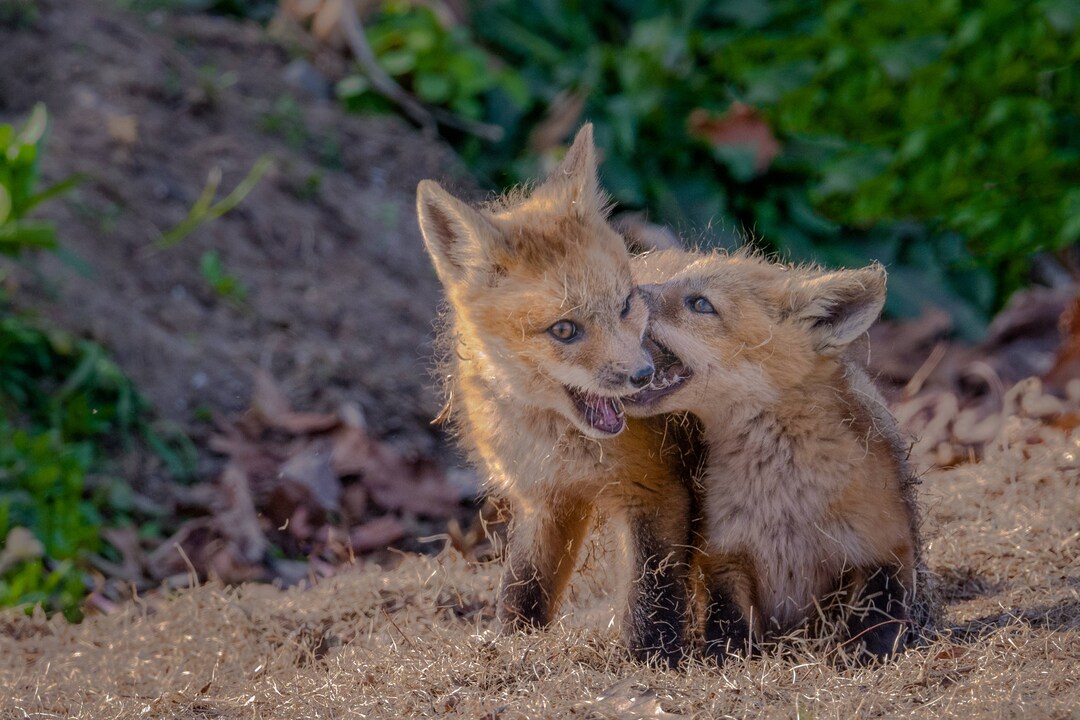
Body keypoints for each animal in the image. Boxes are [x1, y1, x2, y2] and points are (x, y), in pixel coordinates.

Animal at [416, 125, 698, 665]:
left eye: (626, 304)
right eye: (564, 330)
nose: (644, 375)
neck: (557, 442)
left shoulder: (657, 491)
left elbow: (651, 604)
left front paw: (647, 666)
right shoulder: (544, 499)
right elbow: (522, 589)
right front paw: (511, 650)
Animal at [625, 248, 927, 664]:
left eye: (700, 303)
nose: (622, 295)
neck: (782, 504)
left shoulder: (887, 544)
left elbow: (881, 608)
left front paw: (865, 653)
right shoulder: (720, 554)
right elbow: (726, 617)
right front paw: (728, 656)